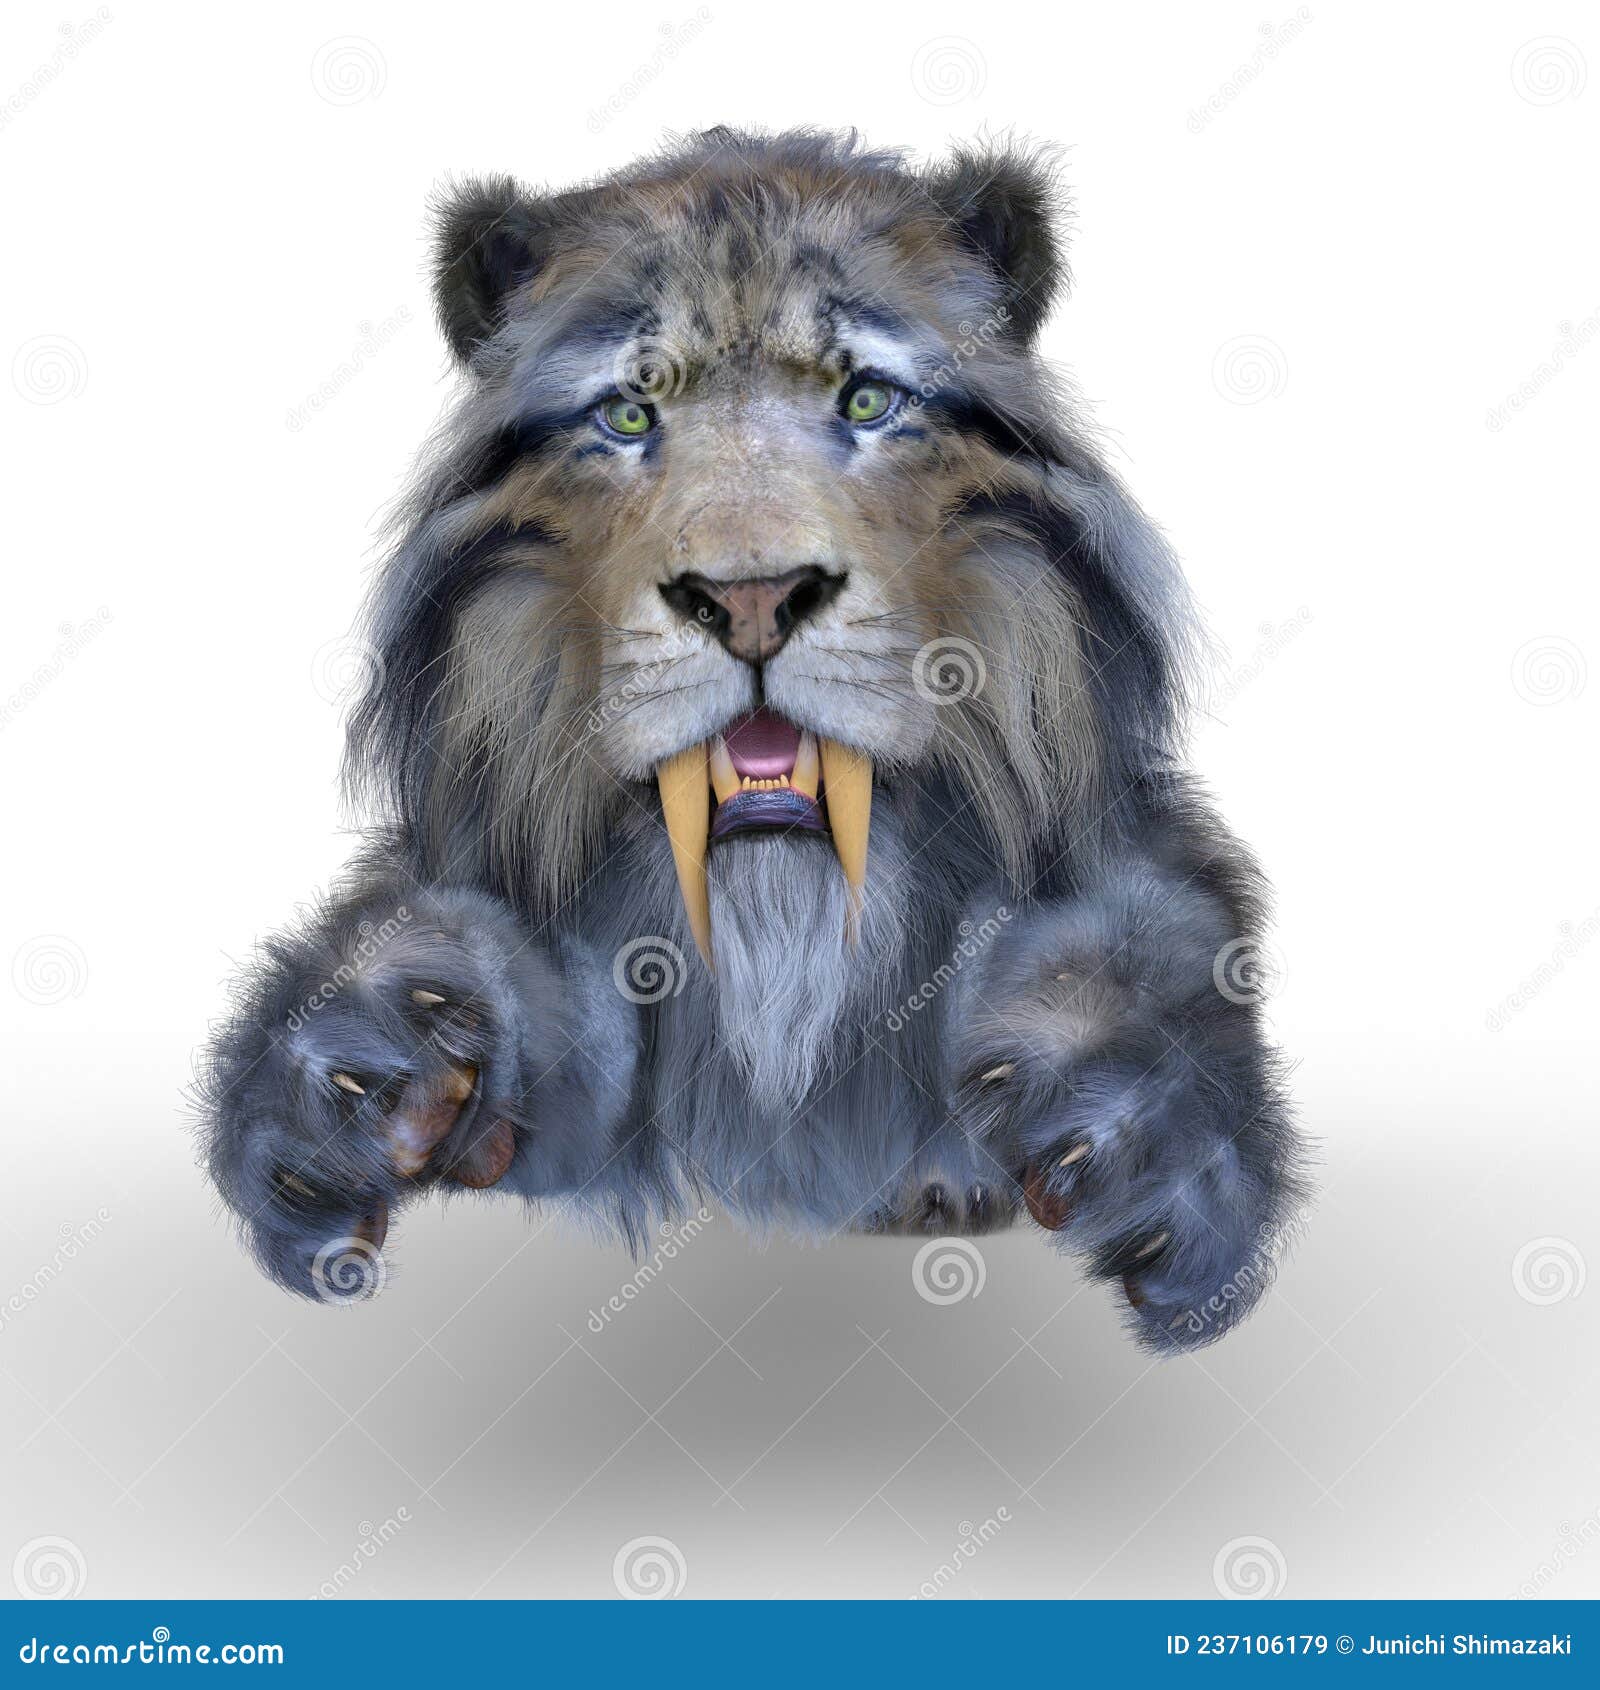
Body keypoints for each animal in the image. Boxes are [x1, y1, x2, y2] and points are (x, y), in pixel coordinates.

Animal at [199, 128, 1306, 1349]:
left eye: (867, 399)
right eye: (630, 416)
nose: (753, 598)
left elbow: (1130, 951)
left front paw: (1132, 1144)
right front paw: (361, 1080)